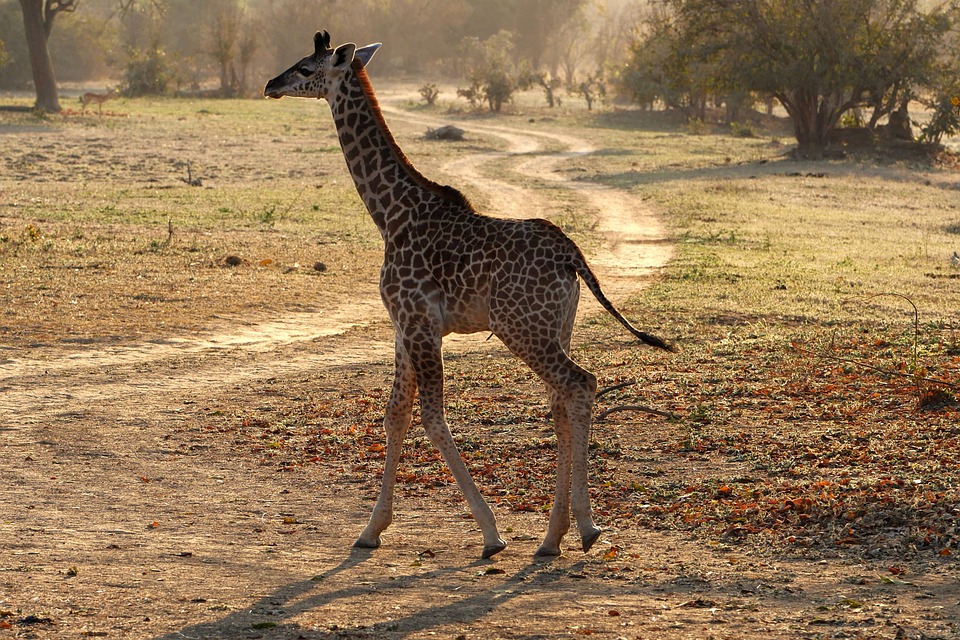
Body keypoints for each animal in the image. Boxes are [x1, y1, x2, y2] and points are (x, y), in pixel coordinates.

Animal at [264, 31, 676, 559]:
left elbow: (432, 417)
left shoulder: (419, 322)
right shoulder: (403, 326)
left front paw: (491, 533)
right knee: (561, 401)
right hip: (556, 326)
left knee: (581, 384)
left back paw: (585, 526)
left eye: (304, 67)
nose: (270, 85)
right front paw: (372, 529)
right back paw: (552, 537)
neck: (389, 216)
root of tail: (573, 257)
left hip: (521, 327)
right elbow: (395, 414)